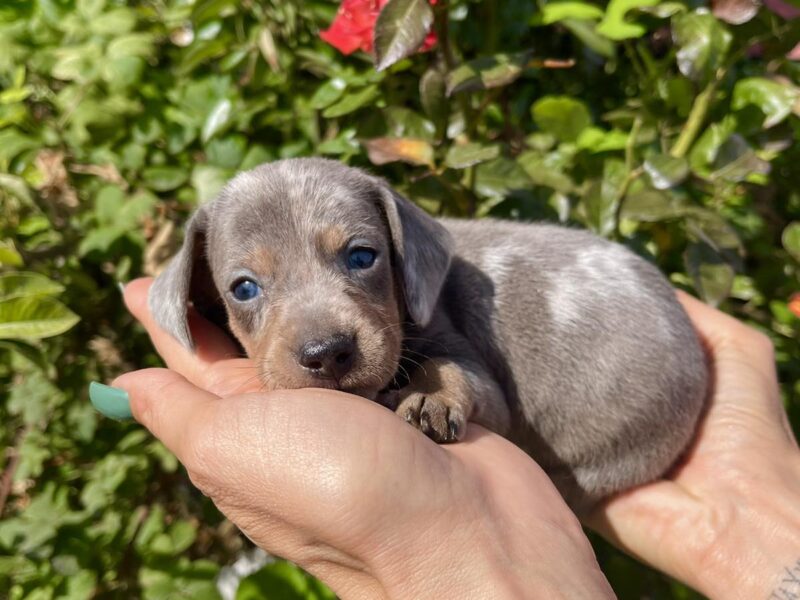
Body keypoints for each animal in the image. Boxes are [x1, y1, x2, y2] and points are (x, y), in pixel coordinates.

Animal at [150, 157, 708, 512]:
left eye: (362, 256)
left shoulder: (485, 385)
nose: (327, 353)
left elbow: (446, 368)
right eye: (243, 288)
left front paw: (427, 398)